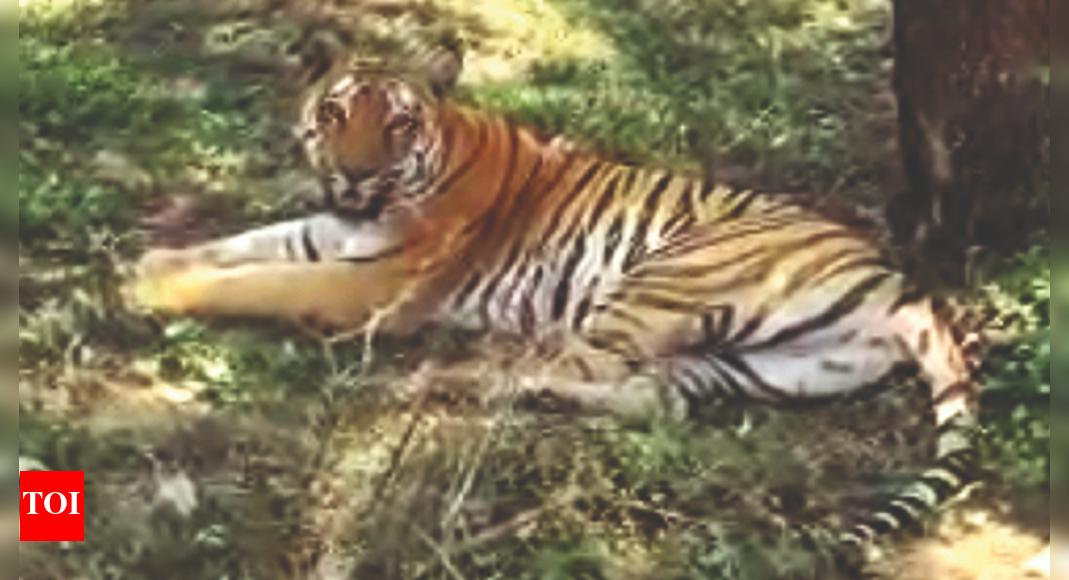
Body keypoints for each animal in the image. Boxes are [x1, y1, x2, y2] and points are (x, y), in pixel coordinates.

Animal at [132, 51, 982, 564]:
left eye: (396, 122)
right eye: (336, 115)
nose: (354, 174)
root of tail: (899, 283)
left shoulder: (376, 281)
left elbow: (261, 279)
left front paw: (147, 289)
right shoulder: (334, 232)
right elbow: (250, 243)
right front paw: (156, 261)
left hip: (664, 277)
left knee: (572, 363)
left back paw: (434, 381)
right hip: (756, 365)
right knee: (654, 399)